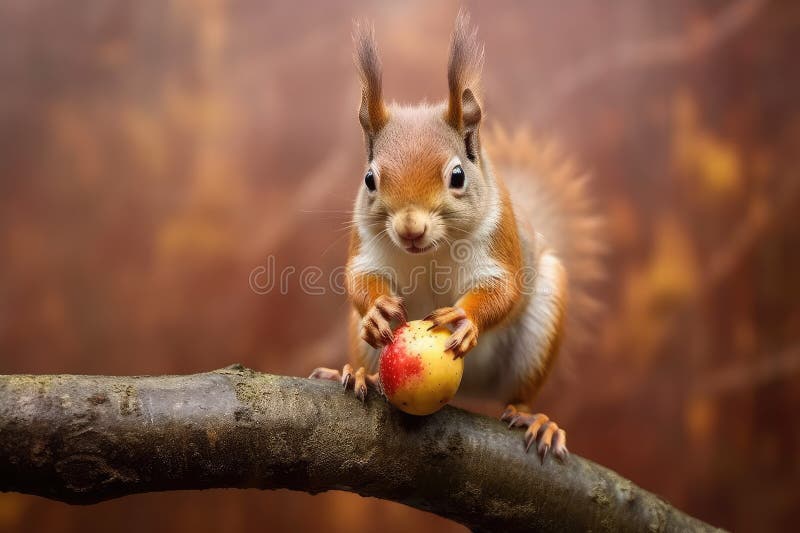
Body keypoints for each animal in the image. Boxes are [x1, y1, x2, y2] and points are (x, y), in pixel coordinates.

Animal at [311, 11, 602, 461]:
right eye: (370, 179)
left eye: (458, 176)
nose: (410, 229)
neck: (429, 252)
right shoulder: (367, 246)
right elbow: (358, 279)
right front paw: (376, 309)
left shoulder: (498, 242)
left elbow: (504, 289)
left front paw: (463, 317)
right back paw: (360, 375)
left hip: (538, 331)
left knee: (518, 396)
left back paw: (536, 420)